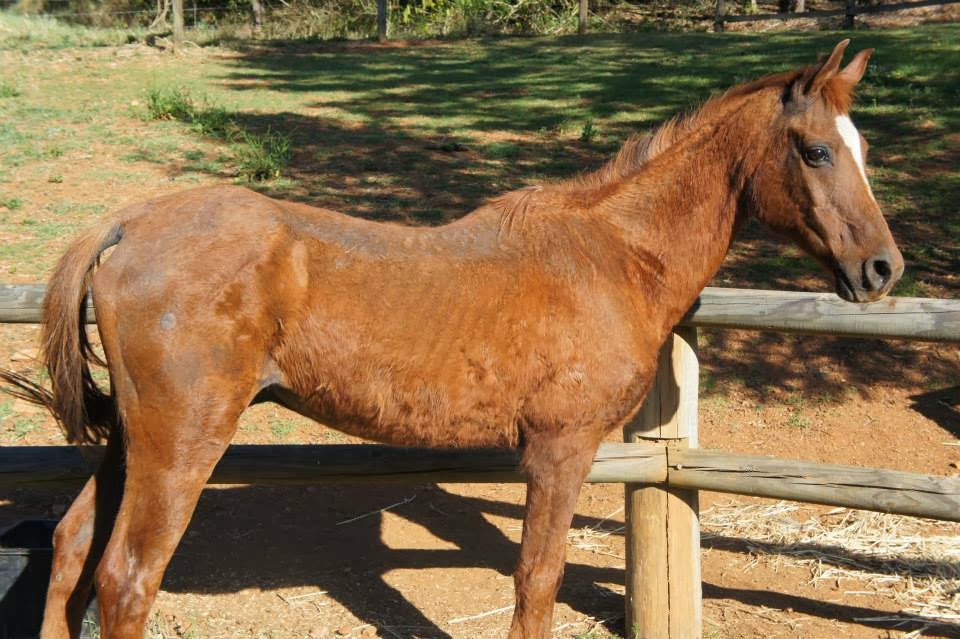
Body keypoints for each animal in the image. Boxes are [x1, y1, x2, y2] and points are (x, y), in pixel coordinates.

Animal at [0, 40, 902, 639]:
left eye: (862, 147)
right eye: (816, 151)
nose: (882, 268)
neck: (609, 254)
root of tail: (125, 222)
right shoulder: (560, 452)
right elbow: (537, 579)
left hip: (133, 441)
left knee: (71, 550)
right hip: (181, 443)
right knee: (126, 579)